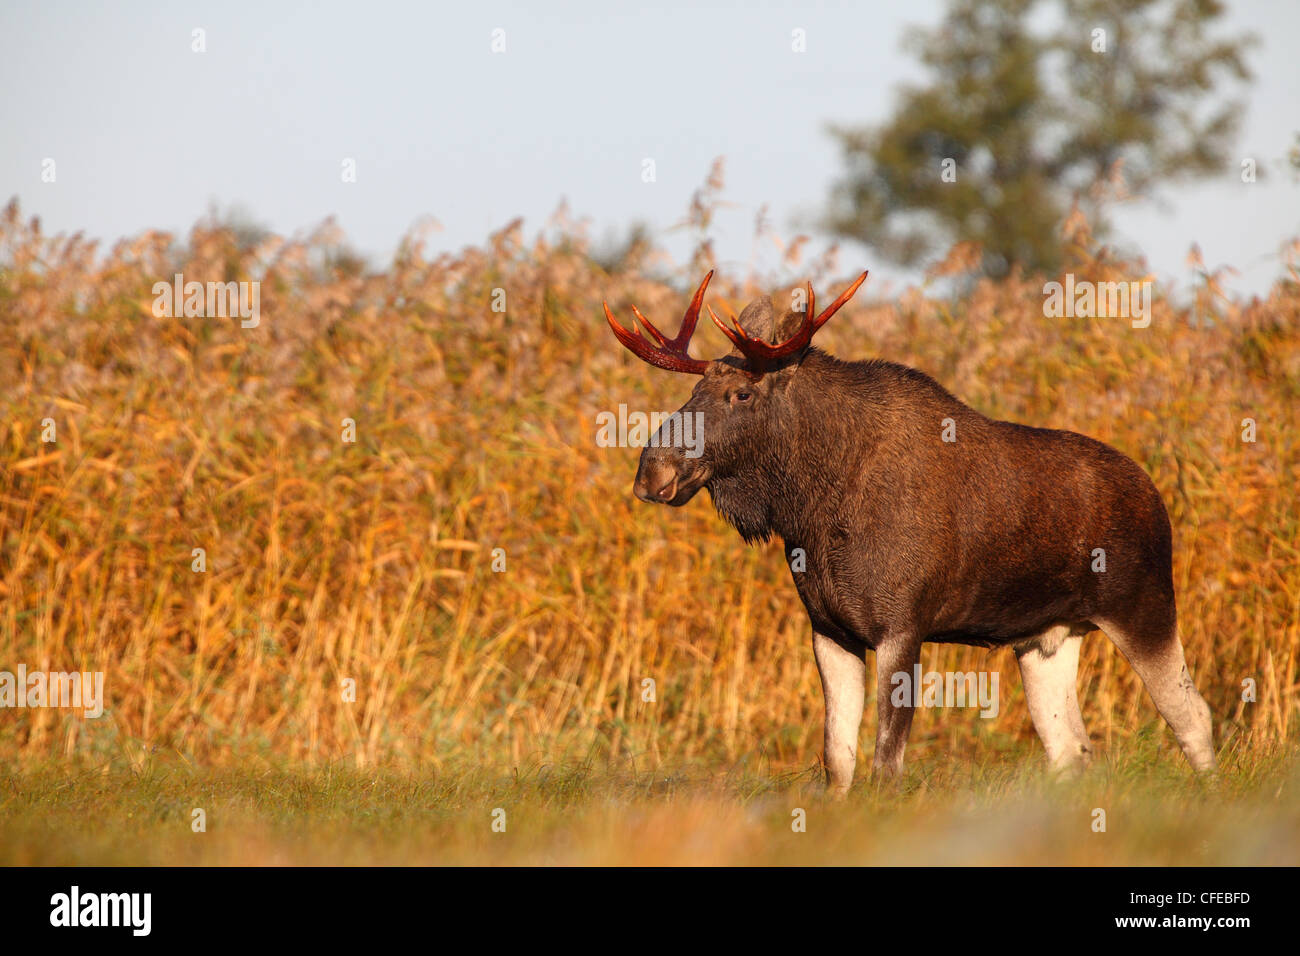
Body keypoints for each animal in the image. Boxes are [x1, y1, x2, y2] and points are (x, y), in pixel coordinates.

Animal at [604, 270, 1216, 794]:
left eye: (742, 394)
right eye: (693, 392)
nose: (651, 472)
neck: (814, 510)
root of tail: (1157, 497)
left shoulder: (902, 626)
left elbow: (886, 762)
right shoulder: (830, 630)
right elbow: (837, 759)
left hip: (1145, 607)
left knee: (1194, 716)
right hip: (1048, 638)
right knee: (1073, 749)